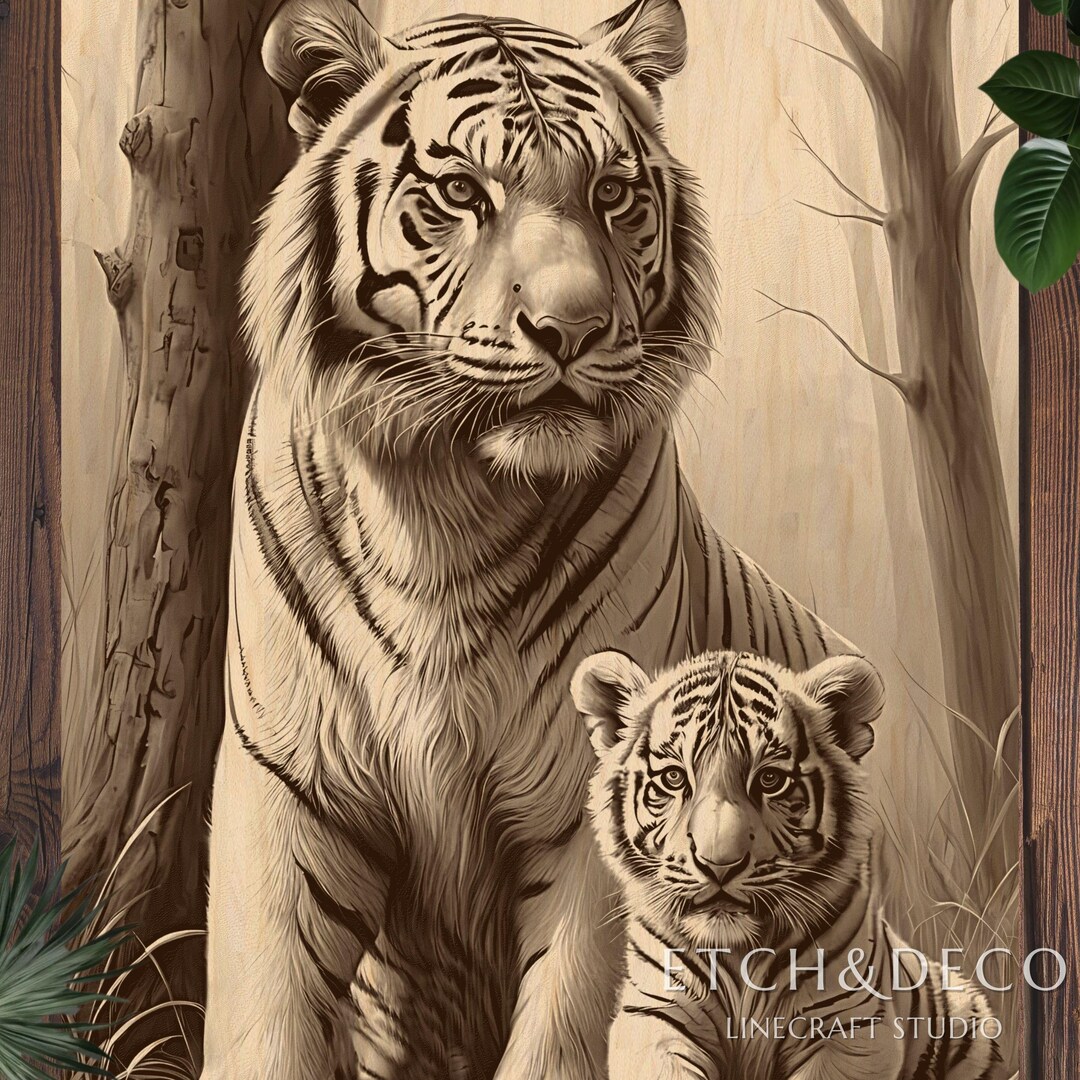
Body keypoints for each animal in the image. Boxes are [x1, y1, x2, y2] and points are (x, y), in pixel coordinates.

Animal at [202, 2, 857, 1079]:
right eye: (462, 191)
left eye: (611, 193)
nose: (572, 329)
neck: (441, 499)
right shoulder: (291, 780)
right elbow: (270, 1010)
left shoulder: (587, 805)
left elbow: (569, 1021)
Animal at [573, 648, 1007, 1080]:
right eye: (674, 778)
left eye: (769, 780)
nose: (719, 864)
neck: (739, 954)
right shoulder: (655, 1017)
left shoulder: (847, 1027)